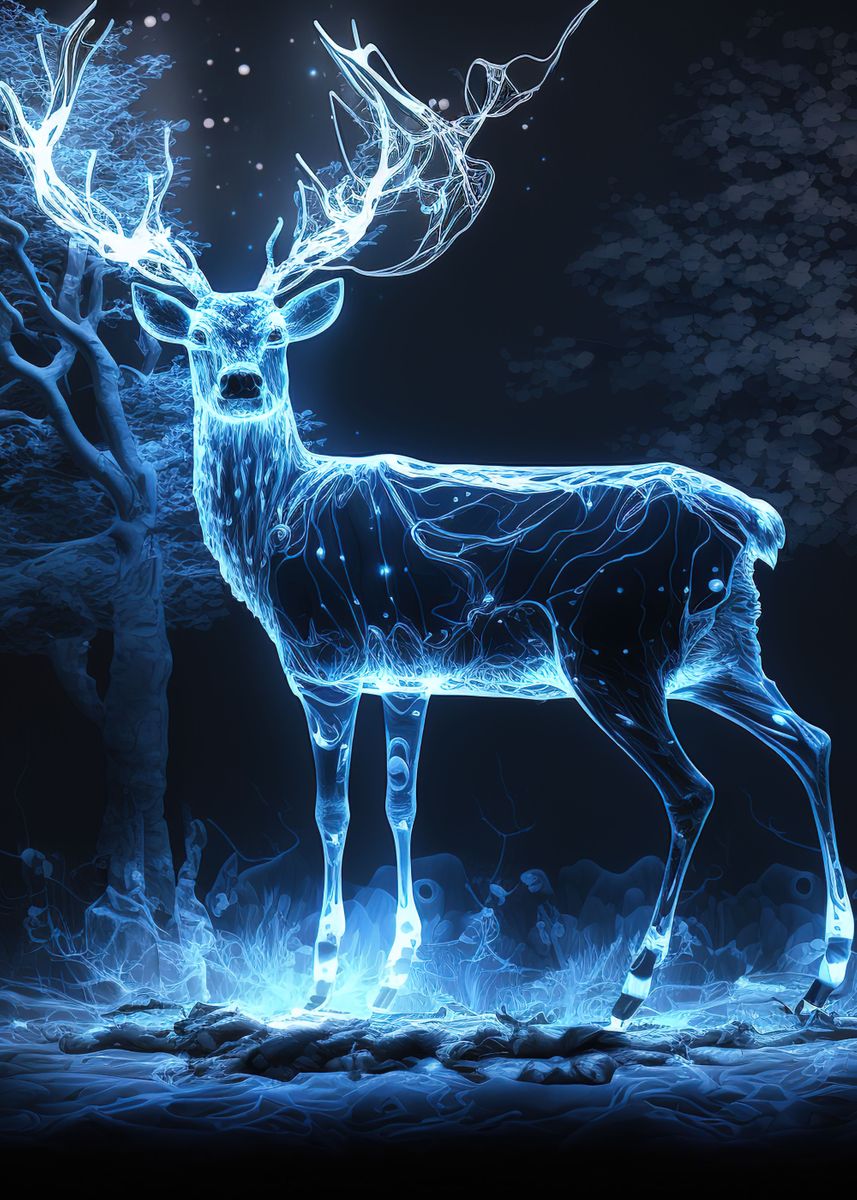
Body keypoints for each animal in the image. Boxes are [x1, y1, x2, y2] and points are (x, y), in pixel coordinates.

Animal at [1, 2, 851, 1028]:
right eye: (201, 334)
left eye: (275, 334)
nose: (241, 384)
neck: (277, 529)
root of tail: (750, 519)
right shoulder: (407, 673)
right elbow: (401, 803)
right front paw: (393, 976)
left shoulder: (324, 660)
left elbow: (332, 811)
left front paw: (322, 981)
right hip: (722, 650)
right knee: (811, 740)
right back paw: (819, 982)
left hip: (612, 649)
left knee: (694, 789)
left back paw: (630, 990)